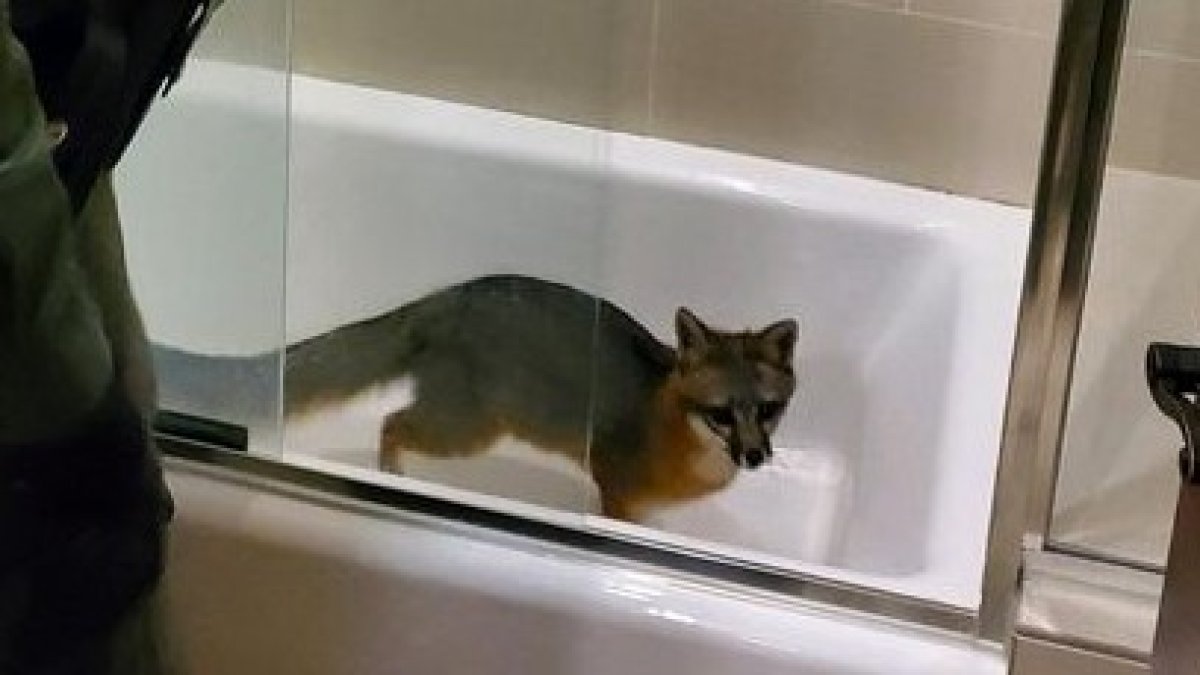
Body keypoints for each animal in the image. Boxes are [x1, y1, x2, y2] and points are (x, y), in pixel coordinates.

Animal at [284, 274, 798, 522]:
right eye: (721, 414)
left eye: (768, 410)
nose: (755, 456)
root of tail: (452, 295)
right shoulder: (614, 487)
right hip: (467, 431)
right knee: (391, 421)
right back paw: (391, 473)